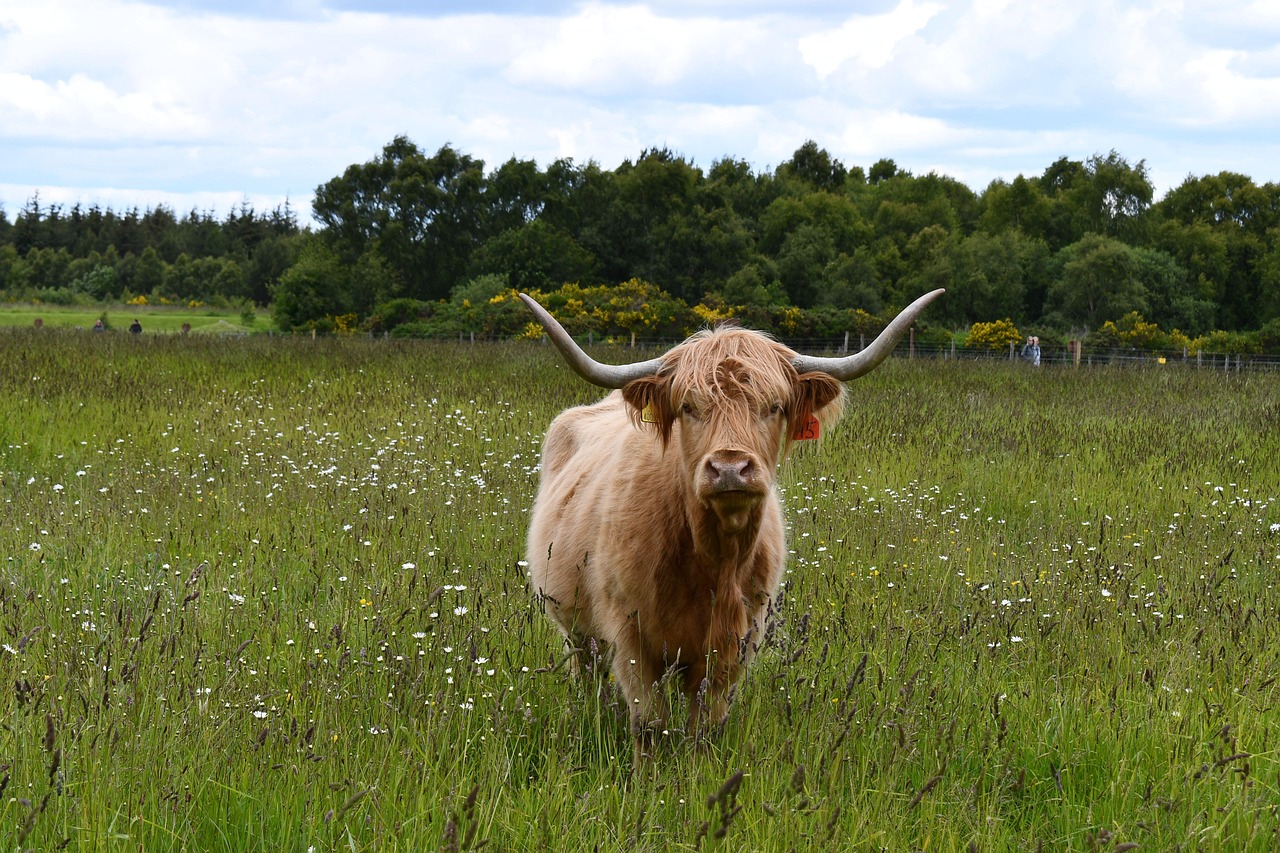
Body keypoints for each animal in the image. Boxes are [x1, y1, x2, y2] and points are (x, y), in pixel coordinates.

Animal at [521, 288, 944, 759]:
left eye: (774, 406)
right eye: (688, 407)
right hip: (577, 628)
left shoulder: (734, 644)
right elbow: (649, 724)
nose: (729, 469)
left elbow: (706, 726)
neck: (711, 561)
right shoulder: (631, 637)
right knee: (589, 674)